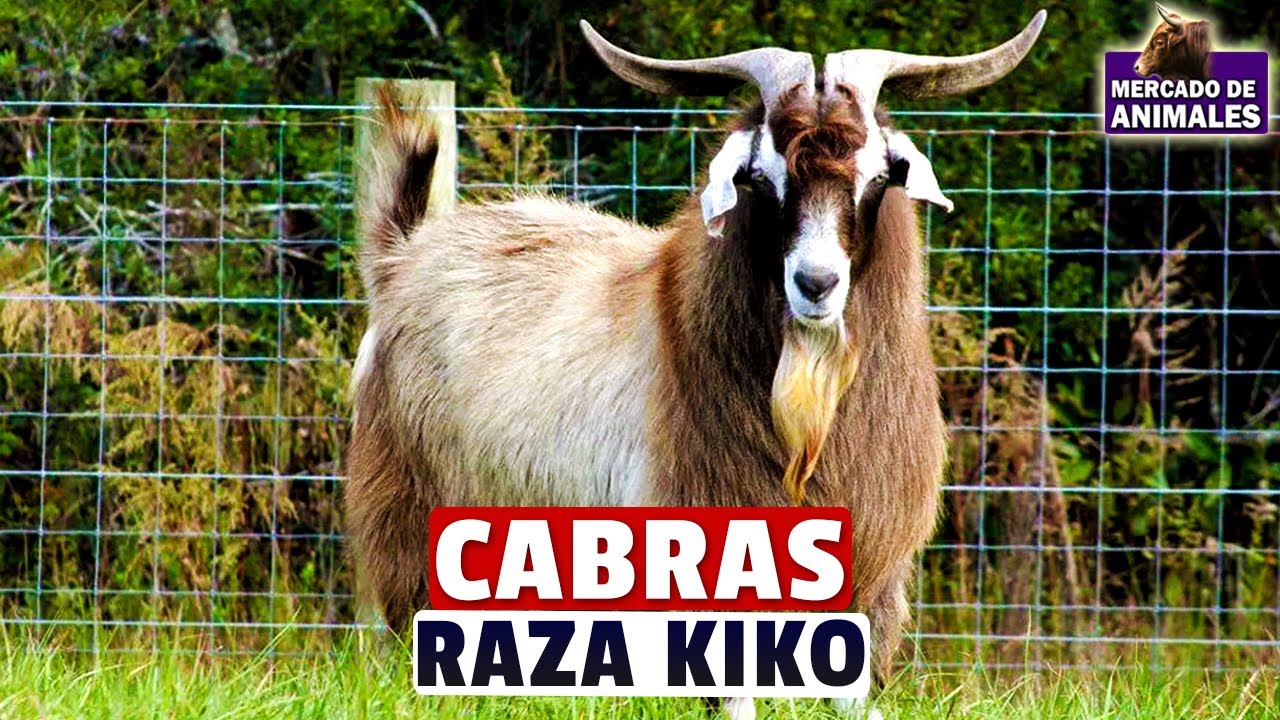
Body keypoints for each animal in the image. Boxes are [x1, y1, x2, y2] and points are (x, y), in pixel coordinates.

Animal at [346, 11, 1046, 718]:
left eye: (878, 176)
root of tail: (401, 258)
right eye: (760, 177)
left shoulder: (870, 575)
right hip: (412, 517)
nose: (816, 283)